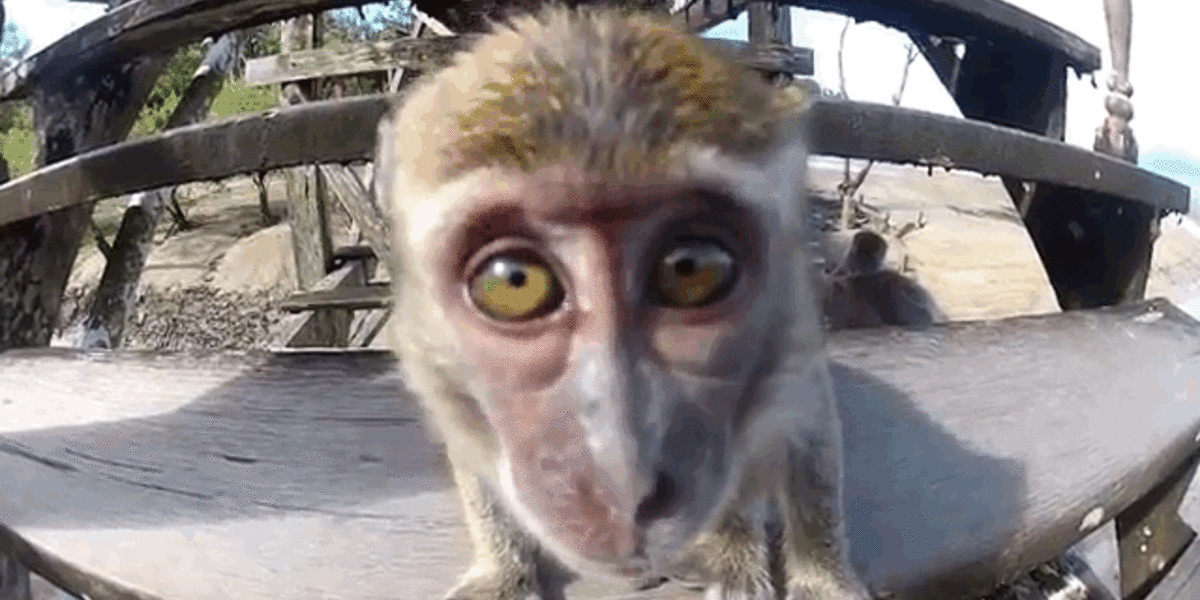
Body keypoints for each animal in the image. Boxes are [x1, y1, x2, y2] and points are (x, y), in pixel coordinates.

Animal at [376, 6, 871, 600]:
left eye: (690, 269)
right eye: (514, 282)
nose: (618, 480)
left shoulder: (794, 332)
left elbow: (811, 432)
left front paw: (817, 573)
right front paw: (501, 568)